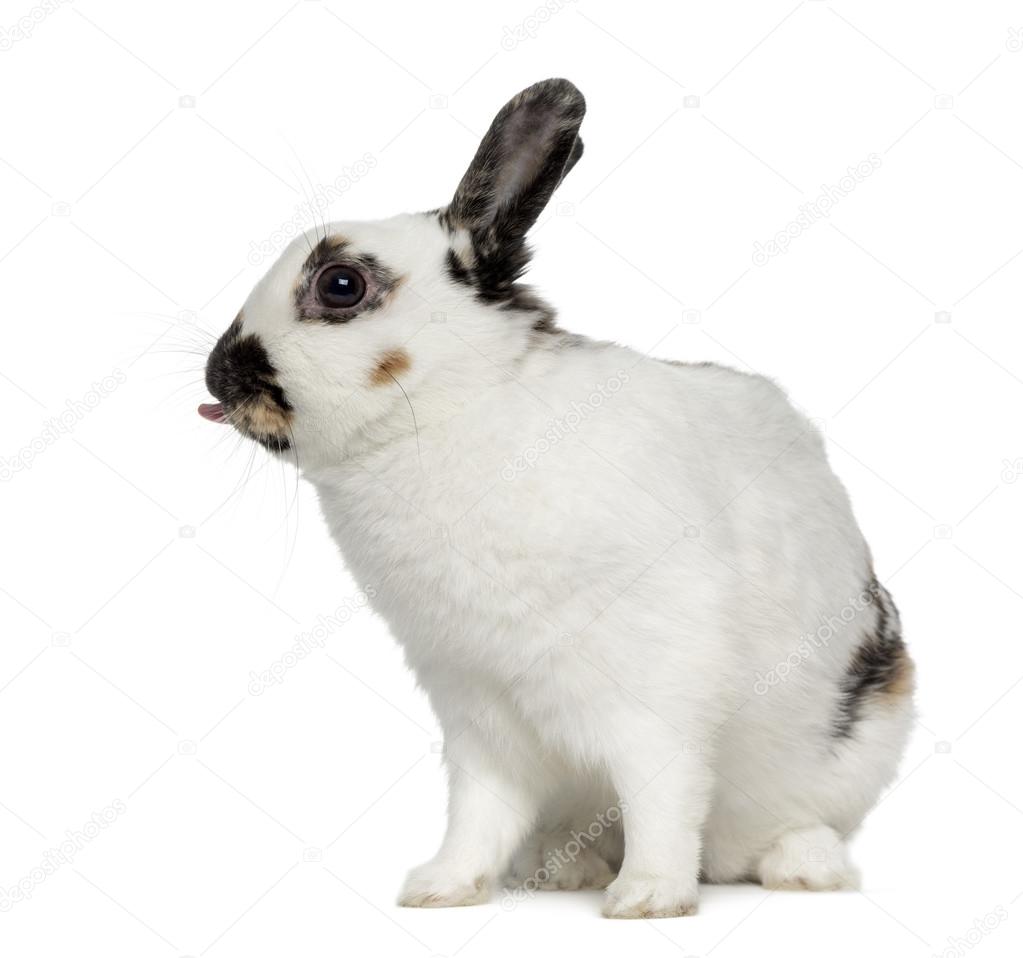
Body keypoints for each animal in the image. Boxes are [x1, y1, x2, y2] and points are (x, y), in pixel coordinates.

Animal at [198, 78, 915, 919]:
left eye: (340, 284)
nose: (217, 377)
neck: (451, 406)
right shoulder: (477, 711)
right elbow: (479, 810)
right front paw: (442, 888)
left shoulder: (656, 694)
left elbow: (661, 793)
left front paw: (647, 899)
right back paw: (561, 868)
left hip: (855, 735)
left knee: (793, 824)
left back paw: (800, 868)